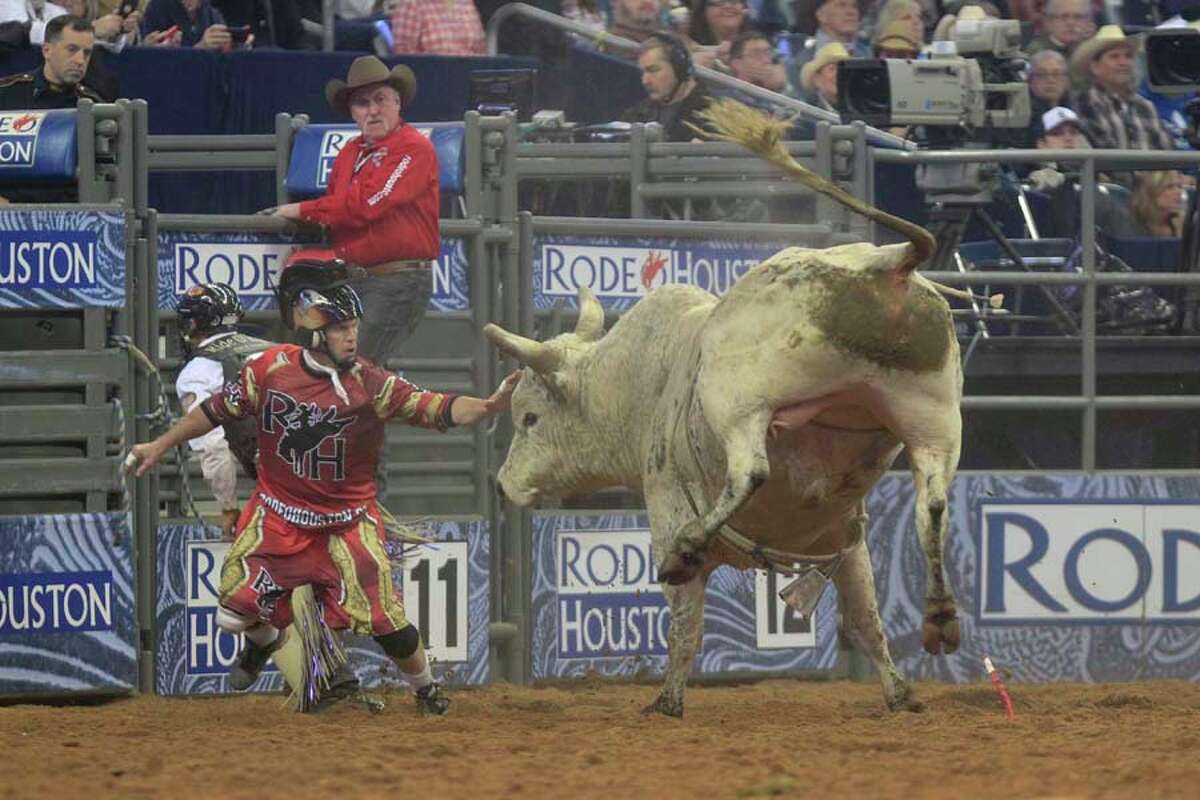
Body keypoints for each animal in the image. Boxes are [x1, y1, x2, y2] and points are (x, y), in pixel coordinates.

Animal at [485, 99, 971, 717]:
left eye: (528, 416)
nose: (503, 485)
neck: (642, 383)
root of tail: (889, 264)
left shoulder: (666, 503)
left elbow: (685, 622)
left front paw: (667, 699)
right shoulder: (848, 541)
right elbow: (866, 617)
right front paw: (900, 692)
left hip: (736, 400)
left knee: (751, 471)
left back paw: (692, 545)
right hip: (932, 422)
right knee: (932, 507)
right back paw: (940, 615)